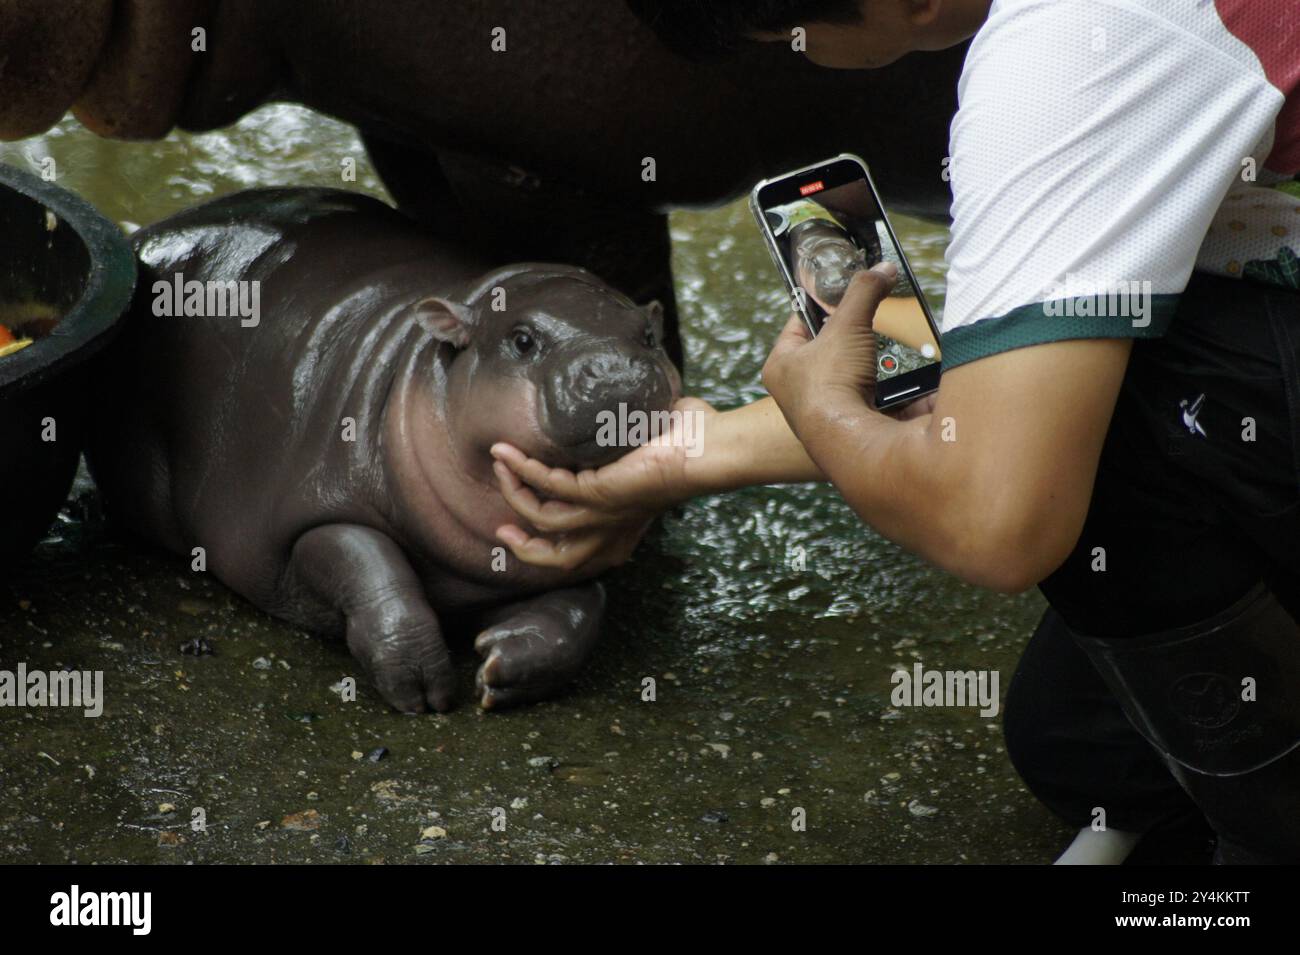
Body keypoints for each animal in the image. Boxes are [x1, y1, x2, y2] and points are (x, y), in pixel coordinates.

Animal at [86, 188, 680, 712]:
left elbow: (582, 610)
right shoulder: (314, 513)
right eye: (522, 339)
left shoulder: (564, 561)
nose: (614, 369)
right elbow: (374, 570)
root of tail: (147, 237)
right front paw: (422, 690)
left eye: (650, 337)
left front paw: (502, 666)